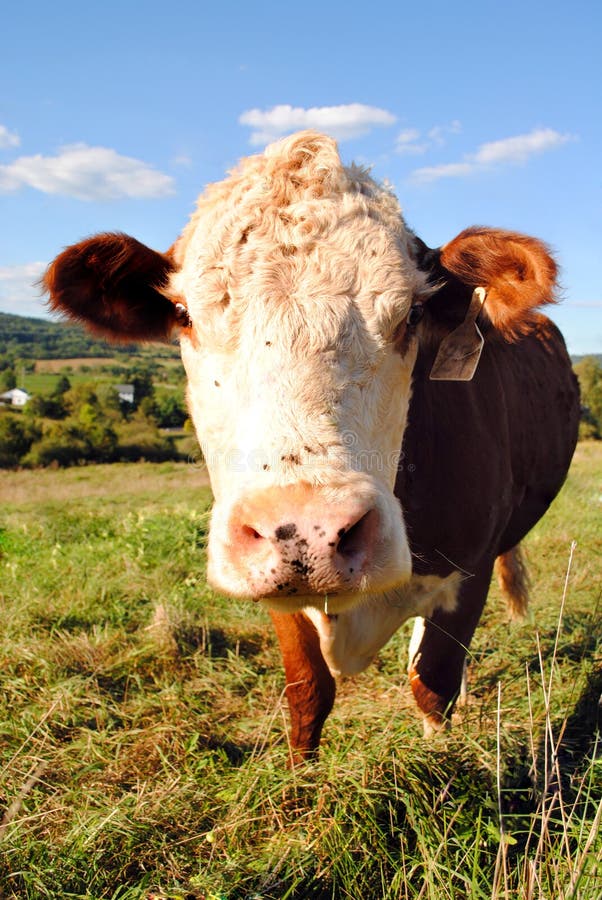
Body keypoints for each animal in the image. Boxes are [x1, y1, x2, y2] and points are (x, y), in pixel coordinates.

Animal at [44, 131, 580, 762]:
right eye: (183, 315)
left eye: (413, 315)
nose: (311, 531)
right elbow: (307, 691)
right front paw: (301, 774)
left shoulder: (467, 568)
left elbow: (433, 683)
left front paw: (438, 759)